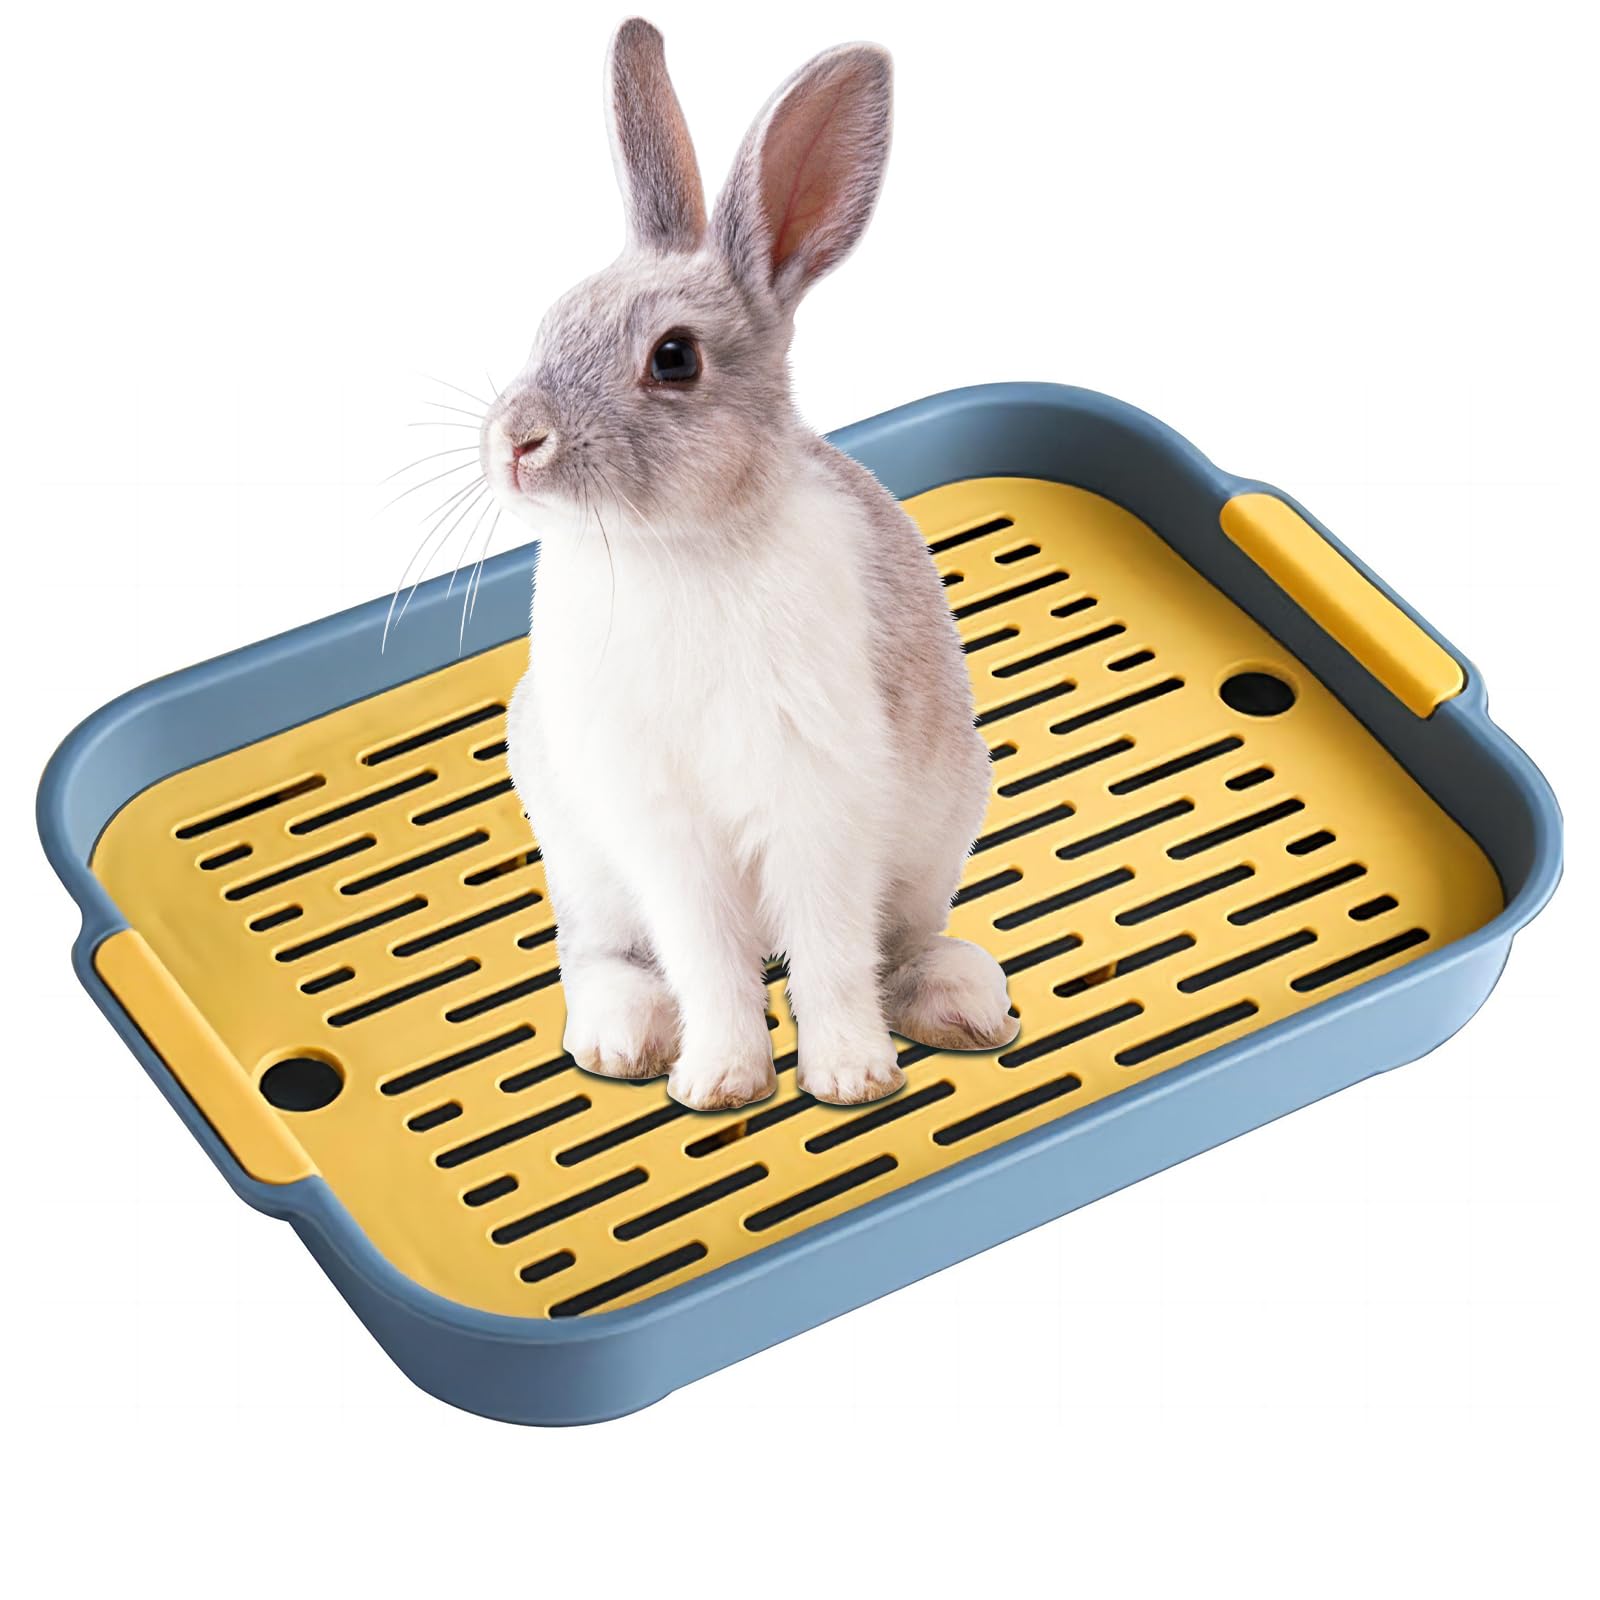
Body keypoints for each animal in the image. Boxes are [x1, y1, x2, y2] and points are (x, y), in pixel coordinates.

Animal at [480, 18, 1019, 1111]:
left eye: (674, 357)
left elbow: (829, 953)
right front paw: (721, 1083)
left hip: (934, 834)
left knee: (896, 944)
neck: (677, 548)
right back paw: (623, 1040)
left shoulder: (819, 800)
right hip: (581, 855)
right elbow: (709, 958)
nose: (516, 442)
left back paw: (960, 1004)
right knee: (602, 954)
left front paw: (850, 1078)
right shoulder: (662, 828)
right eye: (551, 320)